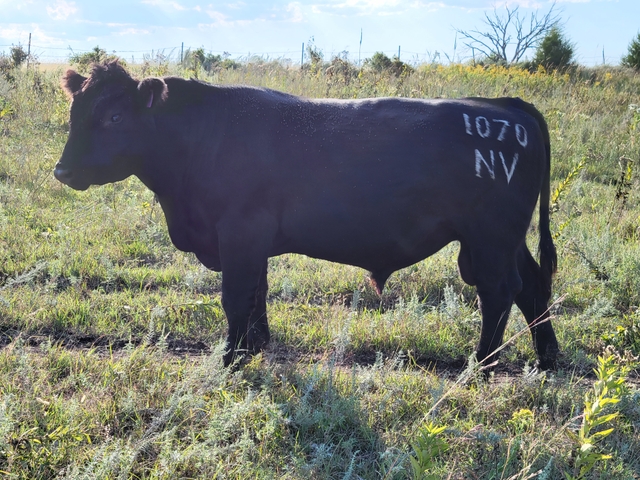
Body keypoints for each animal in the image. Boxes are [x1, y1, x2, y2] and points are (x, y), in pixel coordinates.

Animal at [54, 61, 559, 371]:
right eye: (75, 111)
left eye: (115, 117)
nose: (63, 170)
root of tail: (502, 105)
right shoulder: (251, 240)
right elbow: (256, 293)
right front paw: (254, 347)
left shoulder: (240, 232)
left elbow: (235, 297)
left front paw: (230, 358)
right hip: (502, 240)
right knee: (532, 286)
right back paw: (546, 358)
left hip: (490, 238)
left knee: (499, 293)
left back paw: (481, 364)